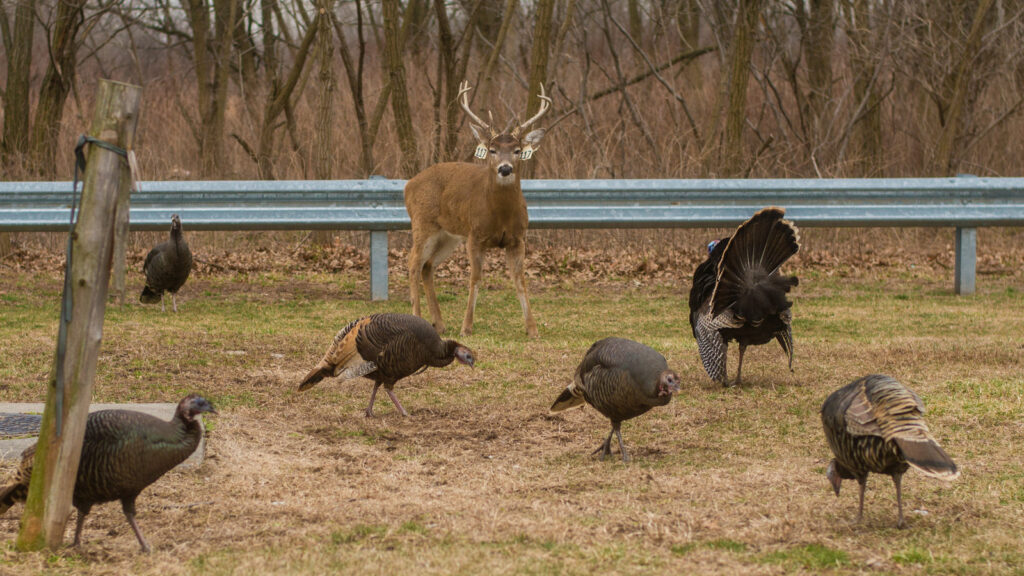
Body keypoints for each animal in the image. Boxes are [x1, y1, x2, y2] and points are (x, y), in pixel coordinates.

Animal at [404, 81, 551, 339]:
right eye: (492, 149)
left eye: (517, 150)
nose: (505, 168)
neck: (500, 215)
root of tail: (408, 186)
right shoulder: (475, 234)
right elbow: (475, 278)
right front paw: (466, 327)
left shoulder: (518, 238)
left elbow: (520, 280)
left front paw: (532, 329)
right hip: (423, 224)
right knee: (413, 263)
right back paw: (418, 318)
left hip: (448, 236)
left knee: (427, 266)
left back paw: (439, 324)